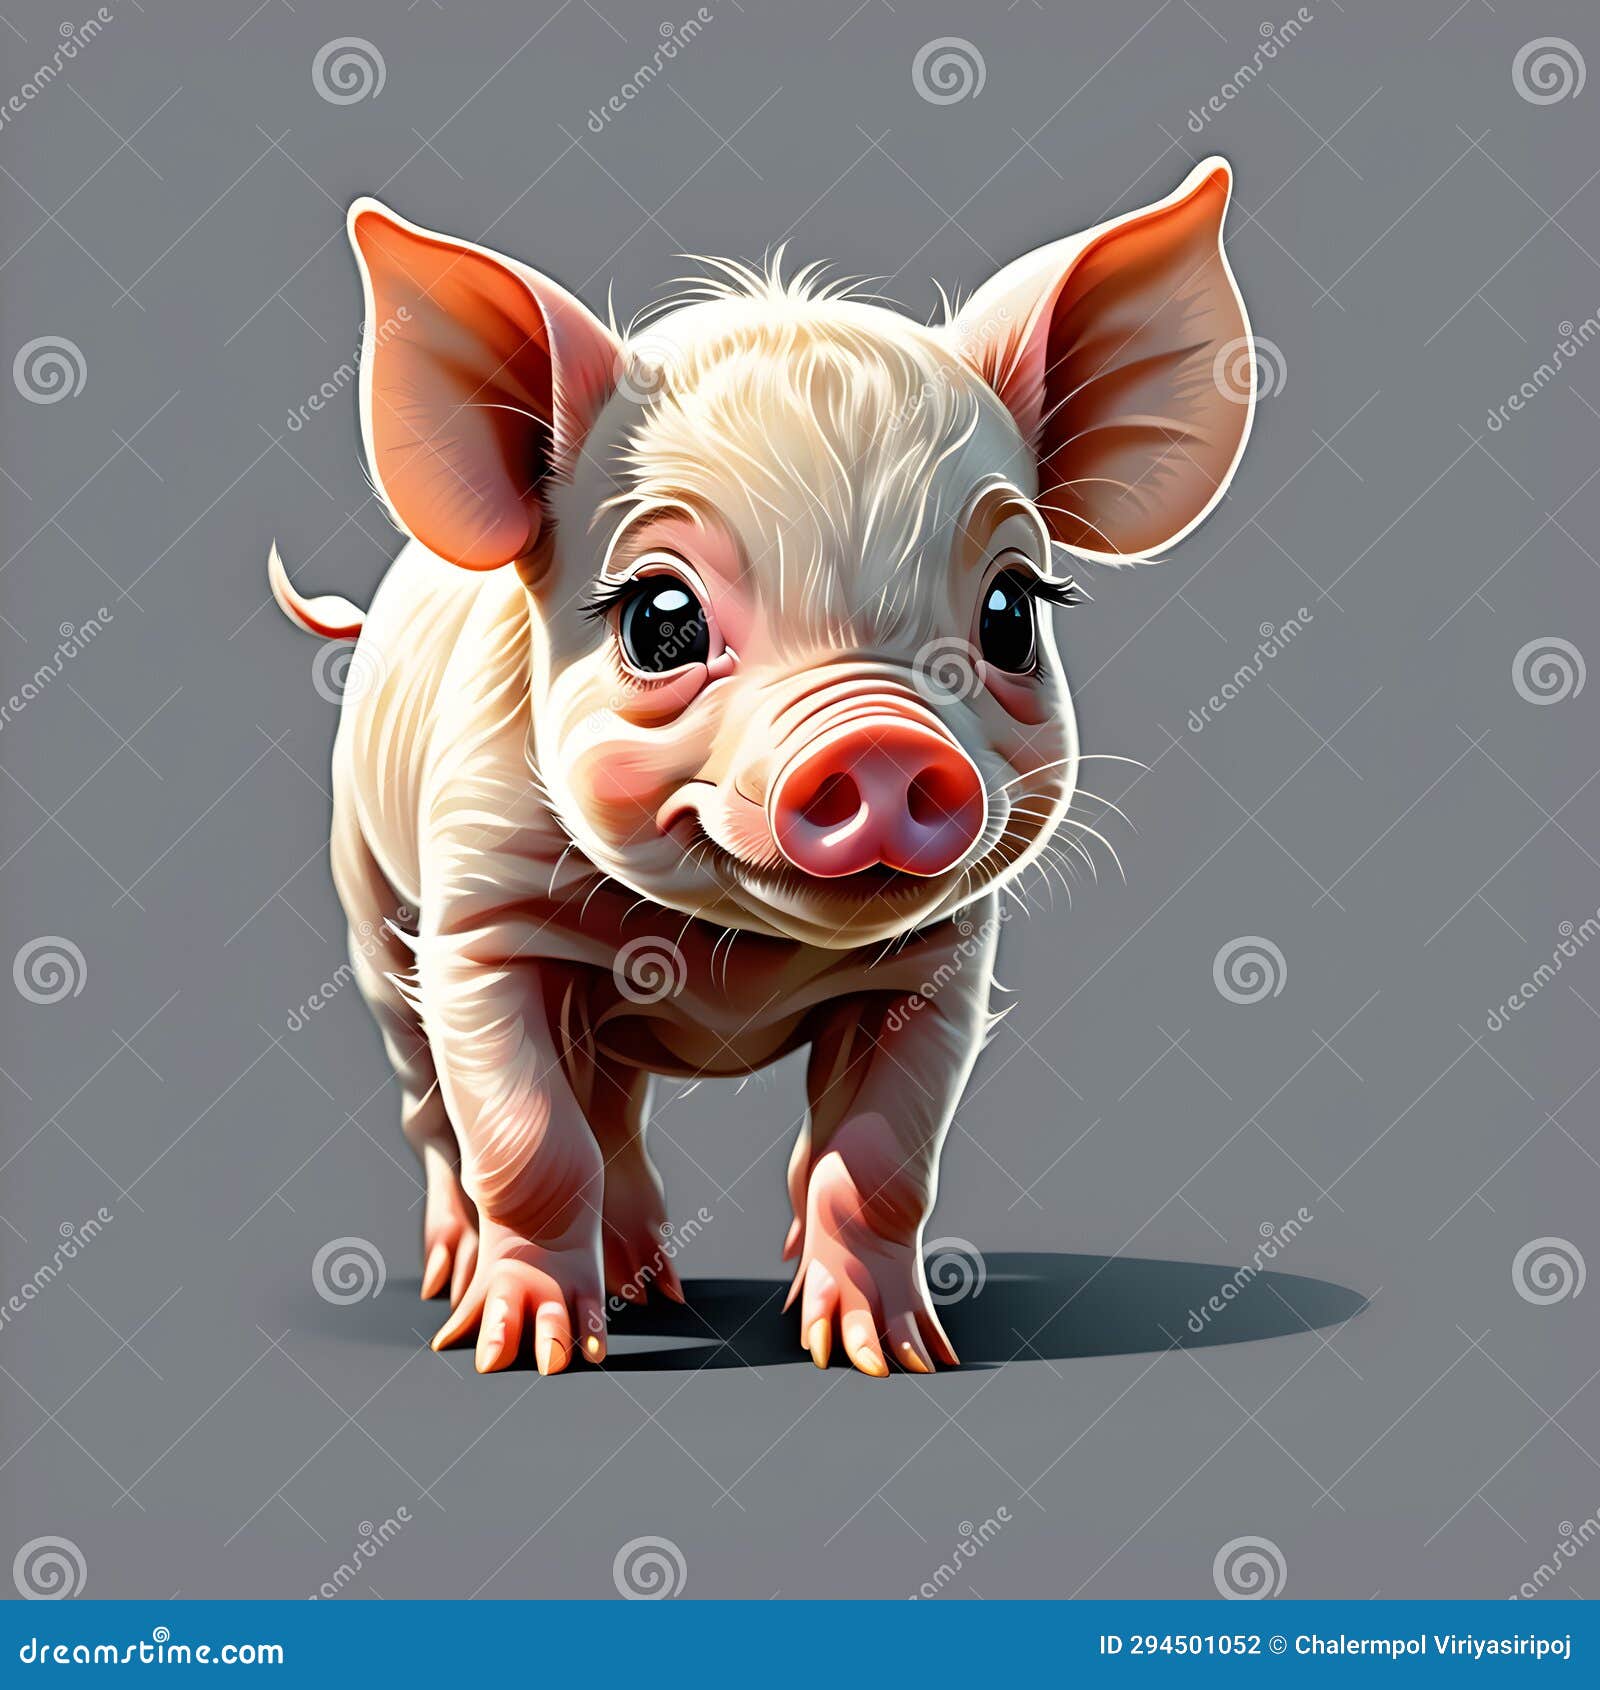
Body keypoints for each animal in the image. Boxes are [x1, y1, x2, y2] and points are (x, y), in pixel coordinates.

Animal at [269, 157, 1255, 1377]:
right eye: (660, 619)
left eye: (1012, 611)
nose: (881, 741)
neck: (732, 967)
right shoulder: (477, 924)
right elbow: (528, 1141)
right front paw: (530, 1355)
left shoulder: (940, 968)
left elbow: (879, 1162)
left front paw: (889, 1354)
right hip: (367, 898)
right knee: (437, 1111)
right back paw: (476, 1292)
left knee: (619, 1108)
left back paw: (653, 1289)